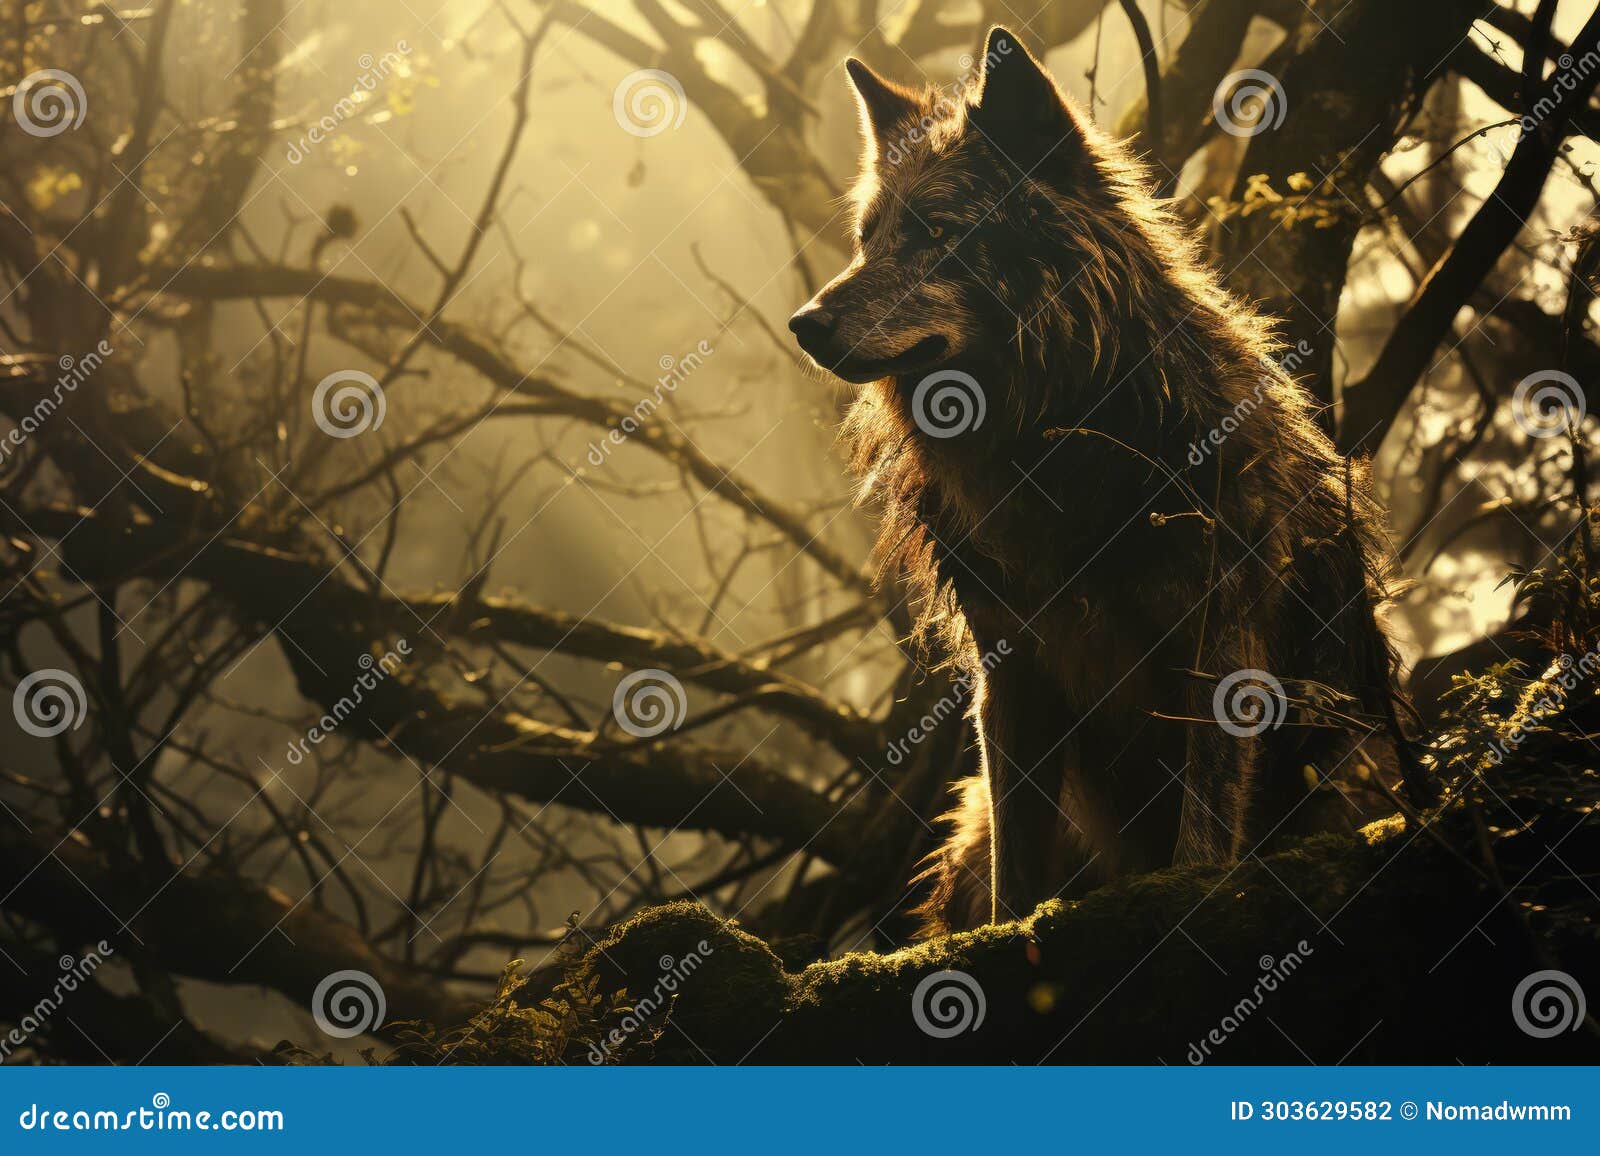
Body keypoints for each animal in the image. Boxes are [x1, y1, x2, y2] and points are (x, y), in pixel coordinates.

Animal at [789, 28, 1405, 933]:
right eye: (869, 238)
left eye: (936, 231)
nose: (804, 324)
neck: (1048, 443)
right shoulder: (1008, 664)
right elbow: (1015, 866)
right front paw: (1007, 937)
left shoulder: (1218, 639)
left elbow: (1203, 826)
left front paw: (1188, 897)